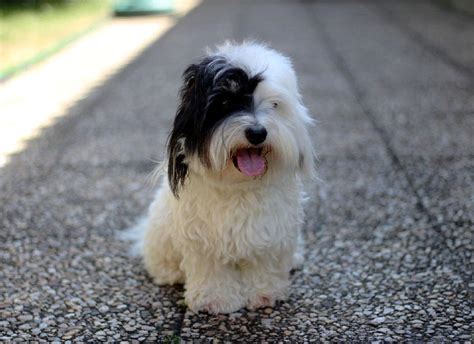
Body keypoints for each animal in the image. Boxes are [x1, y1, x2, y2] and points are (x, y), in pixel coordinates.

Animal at [131, 41, 314, 314]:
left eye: (274, 105)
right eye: (226, 102)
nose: (257, 133)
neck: (240, 186)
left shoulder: (269, 233)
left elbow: (264, 264)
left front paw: (265, 294)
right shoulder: (202, 241)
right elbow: (212, 271)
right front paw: (215, 299)